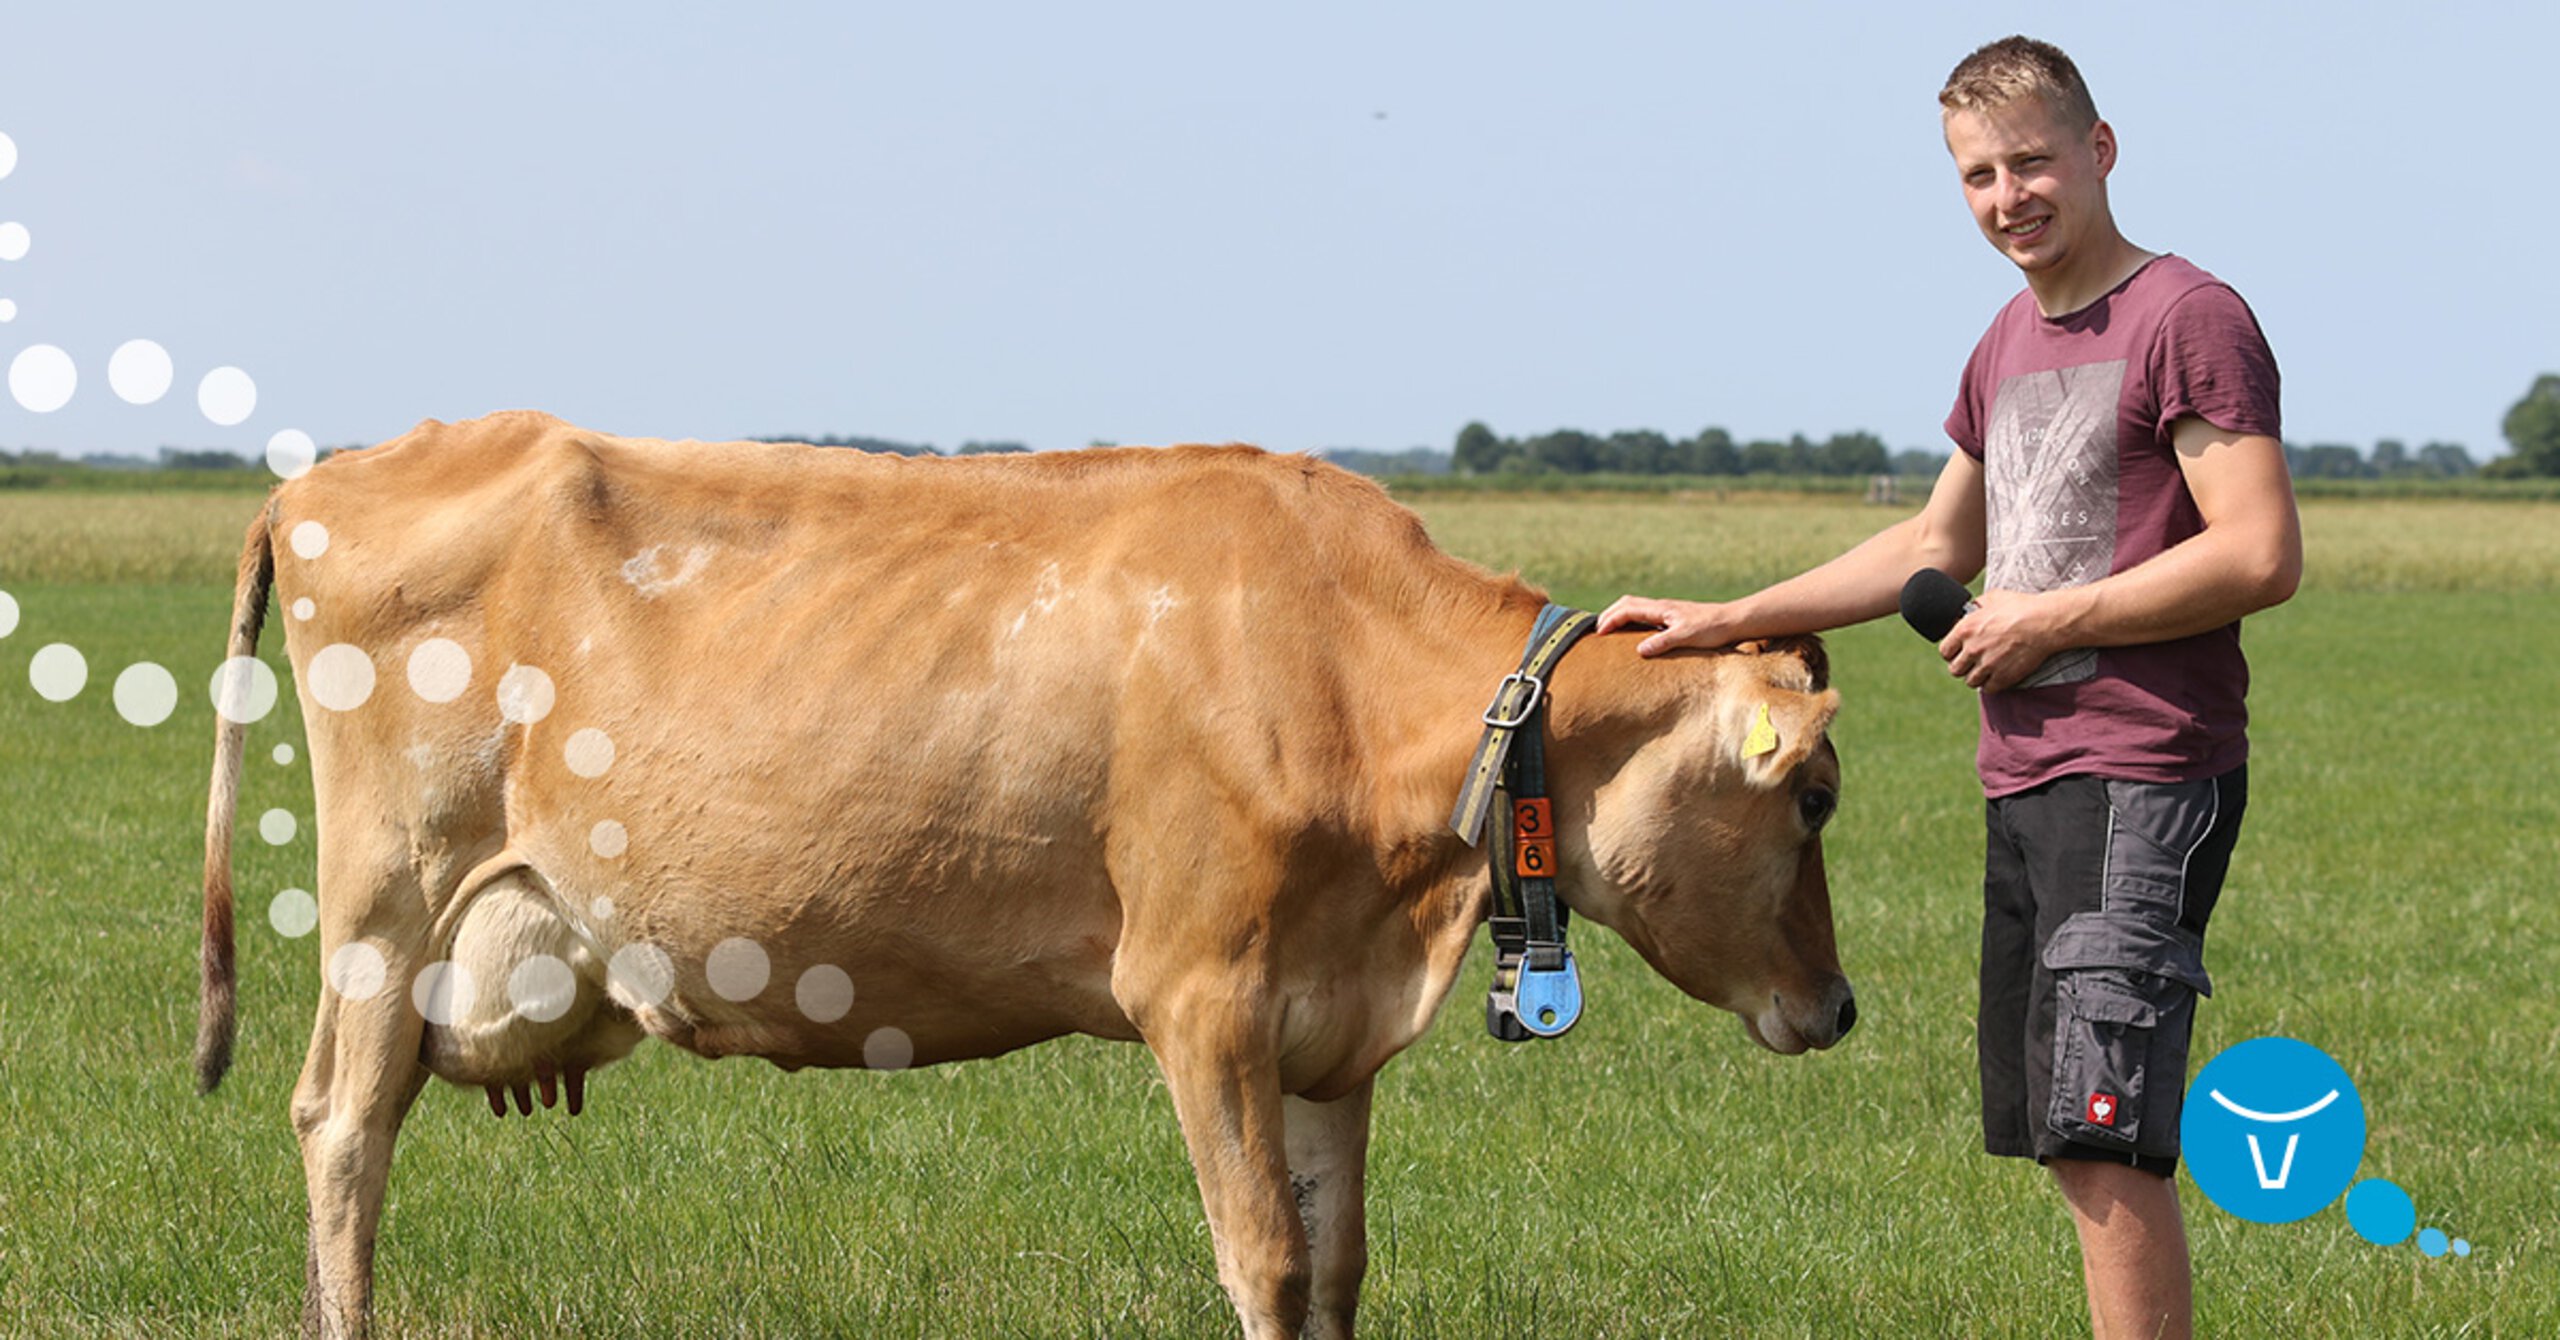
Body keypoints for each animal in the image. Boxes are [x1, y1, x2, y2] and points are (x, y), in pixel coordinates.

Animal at [195, 410, 1855, 1339]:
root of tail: (326, 477)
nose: (1840, 1009)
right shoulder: (1204, 999)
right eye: (1817, 796)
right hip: (389, 904)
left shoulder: (1329, 1029)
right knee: (343, 1129)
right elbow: (1262, 1261)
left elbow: (1335, 1266)